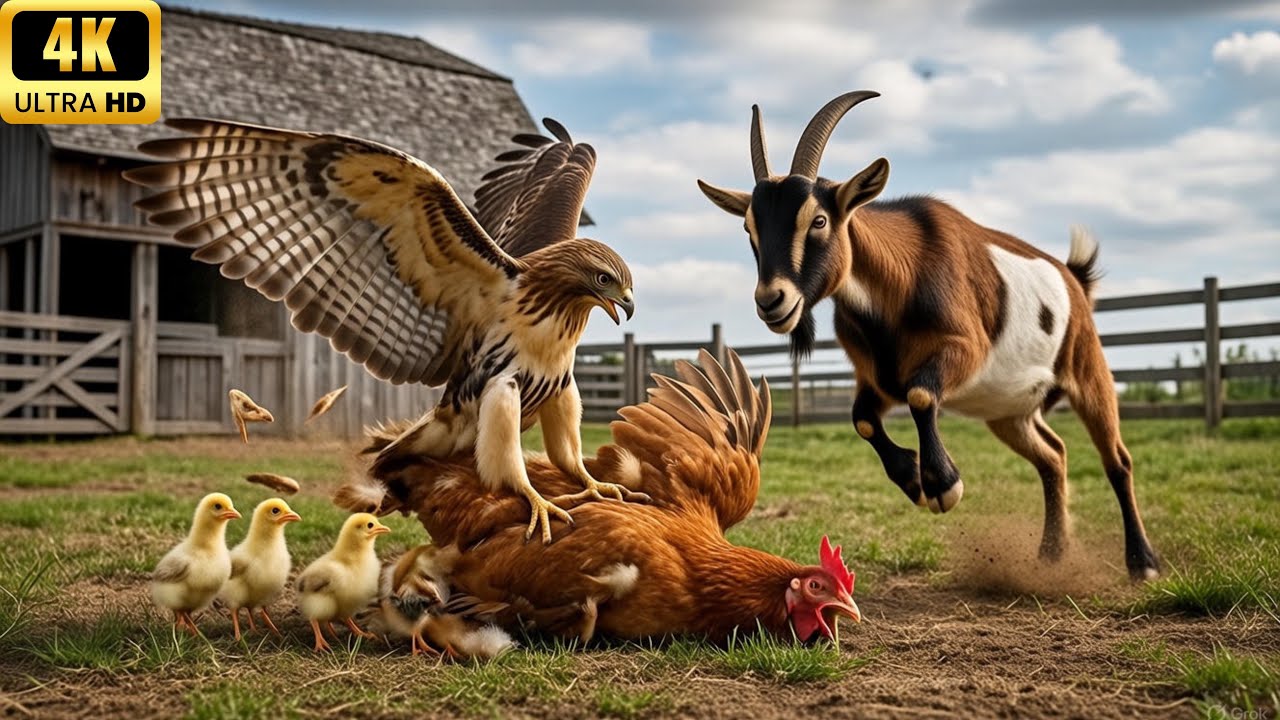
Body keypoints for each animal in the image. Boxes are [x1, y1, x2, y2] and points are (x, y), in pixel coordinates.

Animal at [697, 91, 1160, 580]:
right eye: (749, 227)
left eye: (818, 220)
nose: (772, 300)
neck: (900, 284)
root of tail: (1075, 280)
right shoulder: (876, 377)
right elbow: (863, 419)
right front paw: (914, 478)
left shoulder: (963, 350)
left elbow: (921, 396)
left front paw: (942, 485)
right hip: (1008, 411)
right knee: (1053, 456)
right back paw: (1050, 555)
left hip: (1087, 370)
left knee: (1117, 460)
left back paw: (1142, 563)